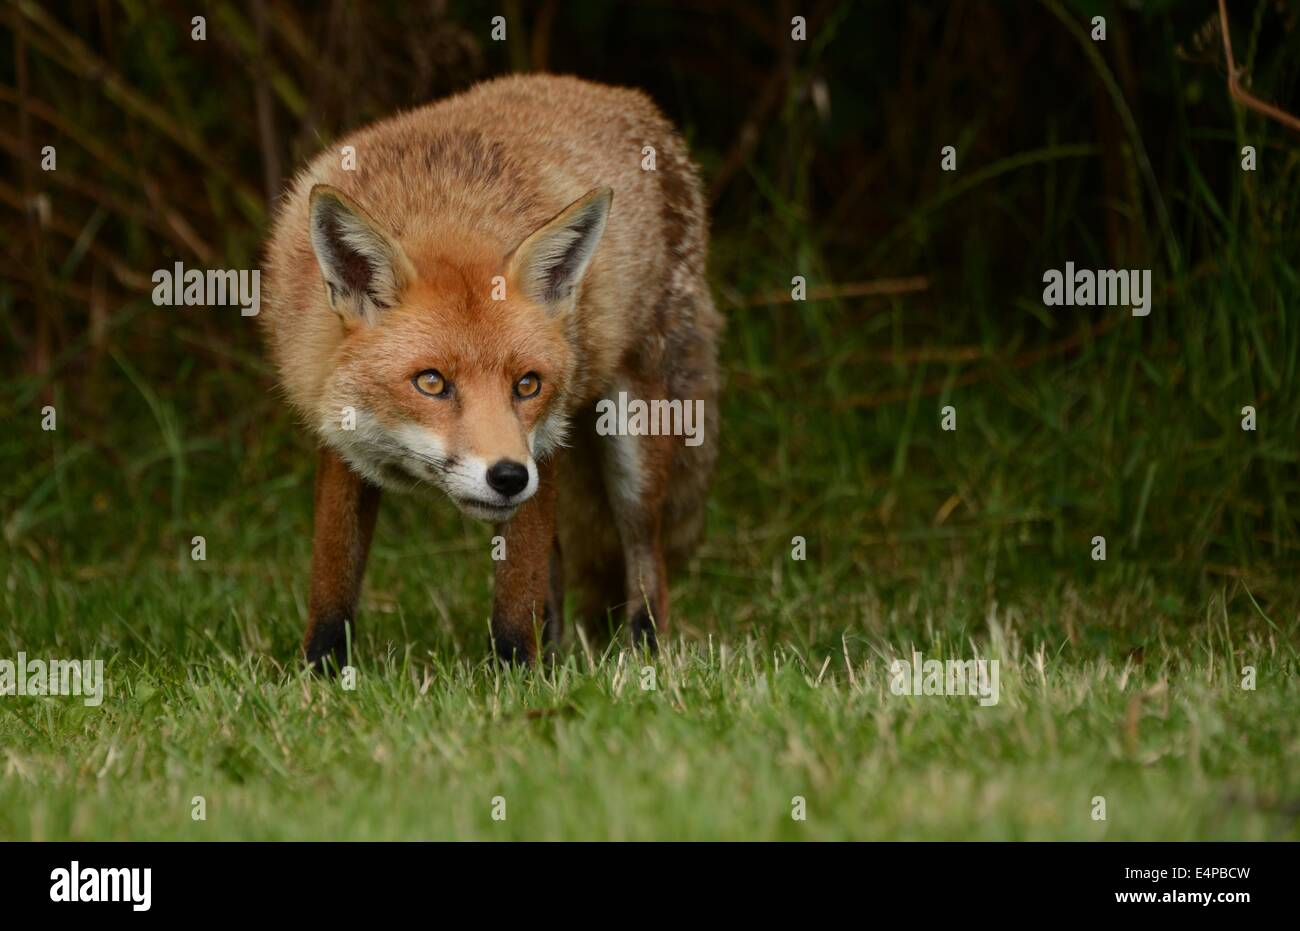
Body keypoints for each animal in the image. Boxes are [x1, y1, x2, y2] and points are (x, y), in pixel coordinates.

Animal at [260, 74, 723, 669]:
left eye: (527, 384)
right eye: (431, 382)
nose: (508, 476)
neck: (445, 211)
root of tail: (626, 97)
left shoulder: (544, 442)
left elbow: (515, 595)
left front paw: (513, 675)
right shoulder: (339, 437)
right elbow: (332, 579)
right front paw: (320, 673)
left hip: (632, 444)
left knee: (645, 557)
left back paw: (639, 656)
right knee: (557, 568)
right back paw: (555, 655)